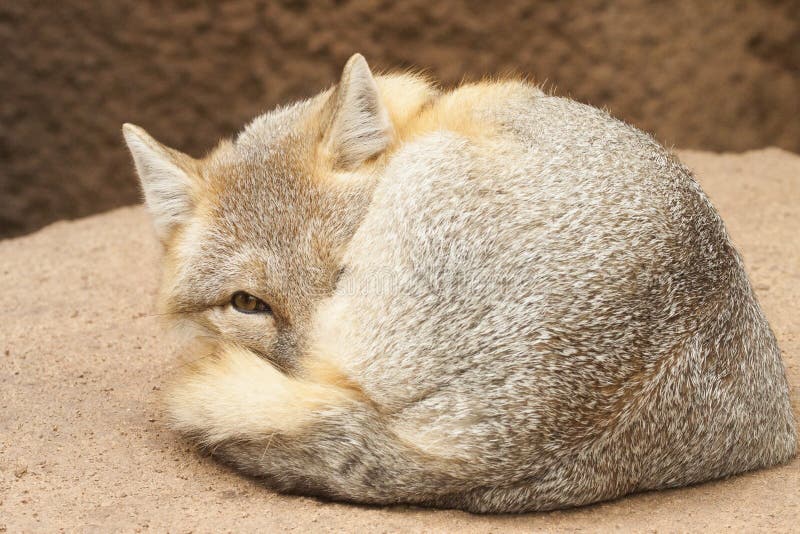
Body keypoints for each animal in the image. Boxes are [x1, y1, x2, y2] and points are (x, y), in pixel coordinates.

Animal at [122, 54, 796, 513]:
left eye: (343, 273)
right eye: (248, 303)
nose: (303, 372)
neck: (421, 114)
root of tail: (504, 447)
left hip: (427, 176)